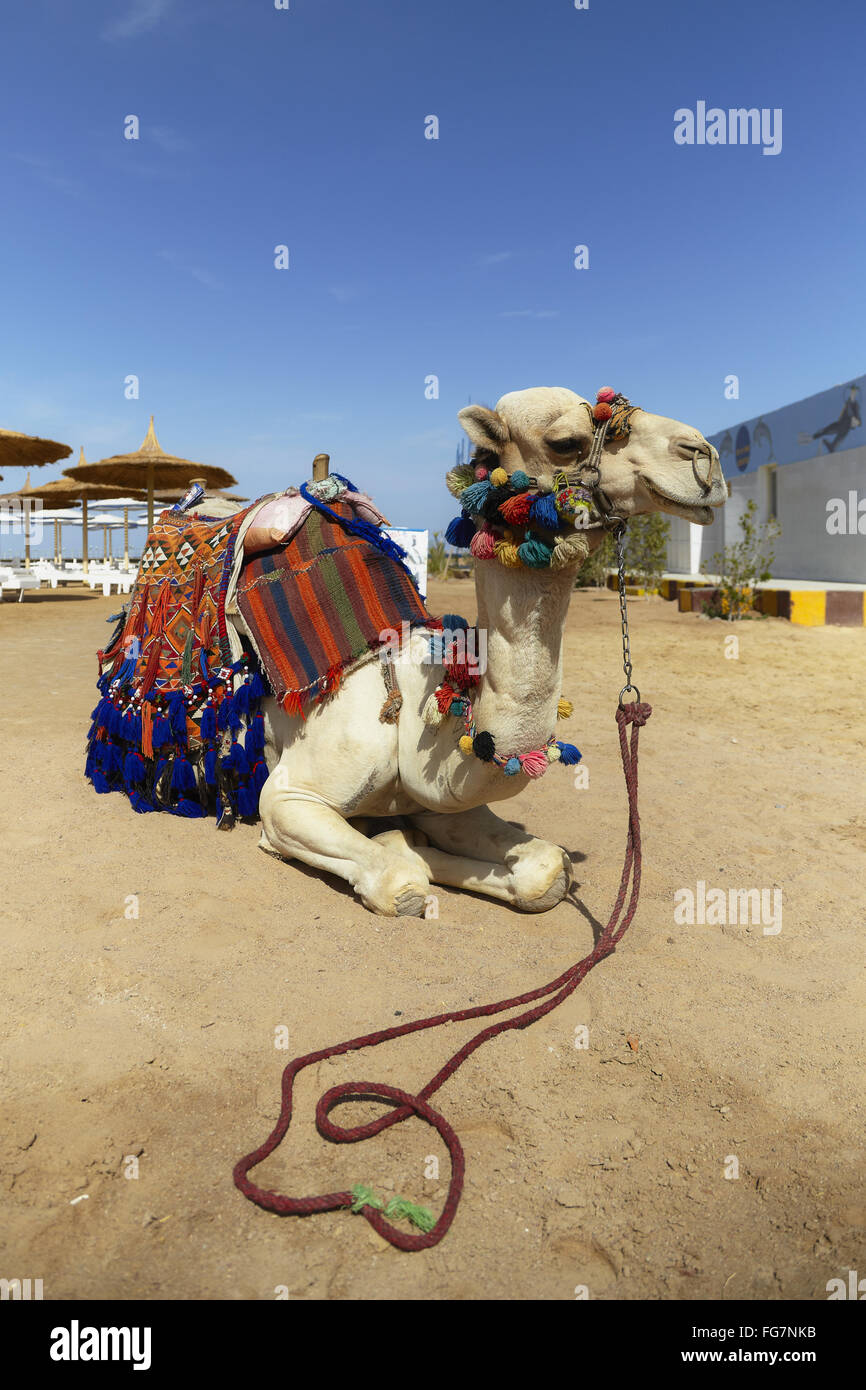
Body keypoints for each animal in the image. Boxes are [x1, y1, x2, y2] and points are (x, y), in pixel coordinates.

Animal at [234, 387, 726, 916]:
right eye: (564, 441)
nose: (704, 457)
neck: (409, 707)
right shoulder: (287, 797)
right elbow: (403, 881)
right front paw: (396, 848)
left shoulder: (441, 802)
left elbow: (546, 869)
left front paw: (404, 838)